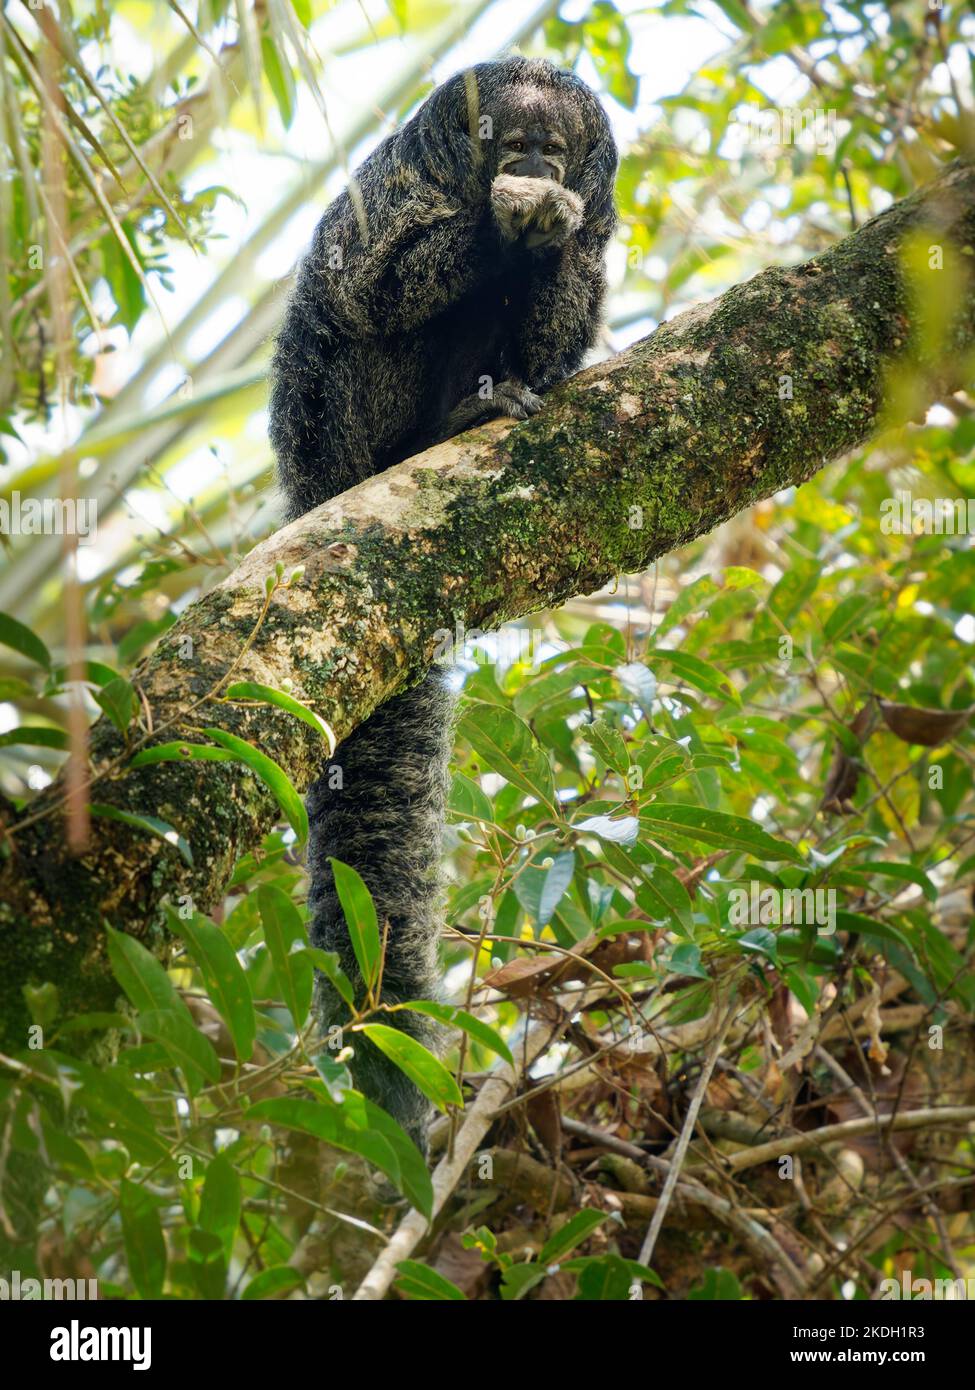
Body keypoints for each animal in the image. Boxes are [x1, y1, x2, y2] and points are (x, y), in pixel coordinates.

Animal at [269, 56, 617, 1155]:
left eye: (557, 147)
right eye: (513, 141)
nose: (535, 167)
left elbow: (560, 321)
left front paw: (545, 233)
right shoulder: (397, 186)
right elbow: (370, 286)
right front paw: (509, 223)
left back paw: (470, 408)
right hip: (333, 428)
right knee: (361, 330)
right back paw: (430, 430)